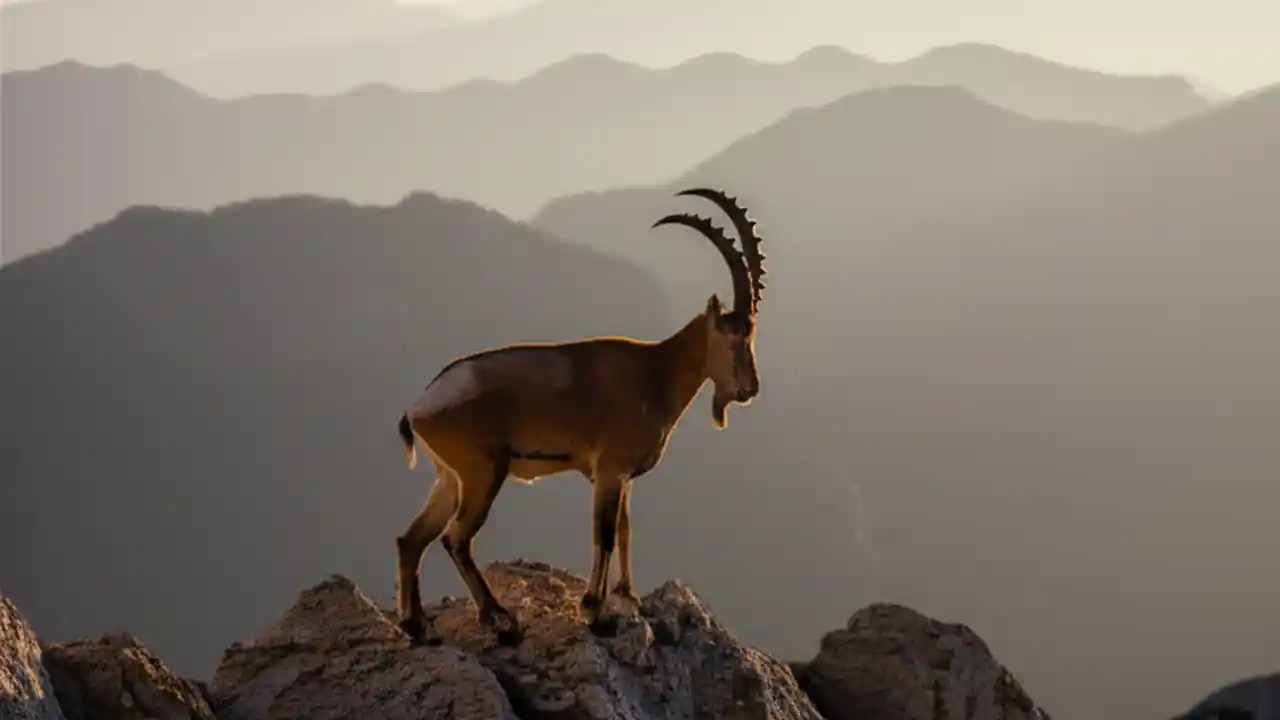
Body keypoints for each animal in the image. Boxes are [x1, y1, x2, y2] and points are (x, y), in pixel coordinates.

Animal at [393, 187, 767, 643]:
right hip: (482, 470)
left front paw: (627, 597)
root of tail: (420, 404)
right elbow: (603, 533)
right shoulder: (608, 469)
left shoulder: (623, 477)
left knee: (412, 539)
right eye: (732, 335)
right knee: (456, 538)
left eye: (752, 333)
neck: (656, 374)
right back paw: (498, 616)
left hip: (449, 477)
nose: (749, 389)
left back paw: (417, 625)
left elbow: (624, 529)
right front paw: (593, 607)